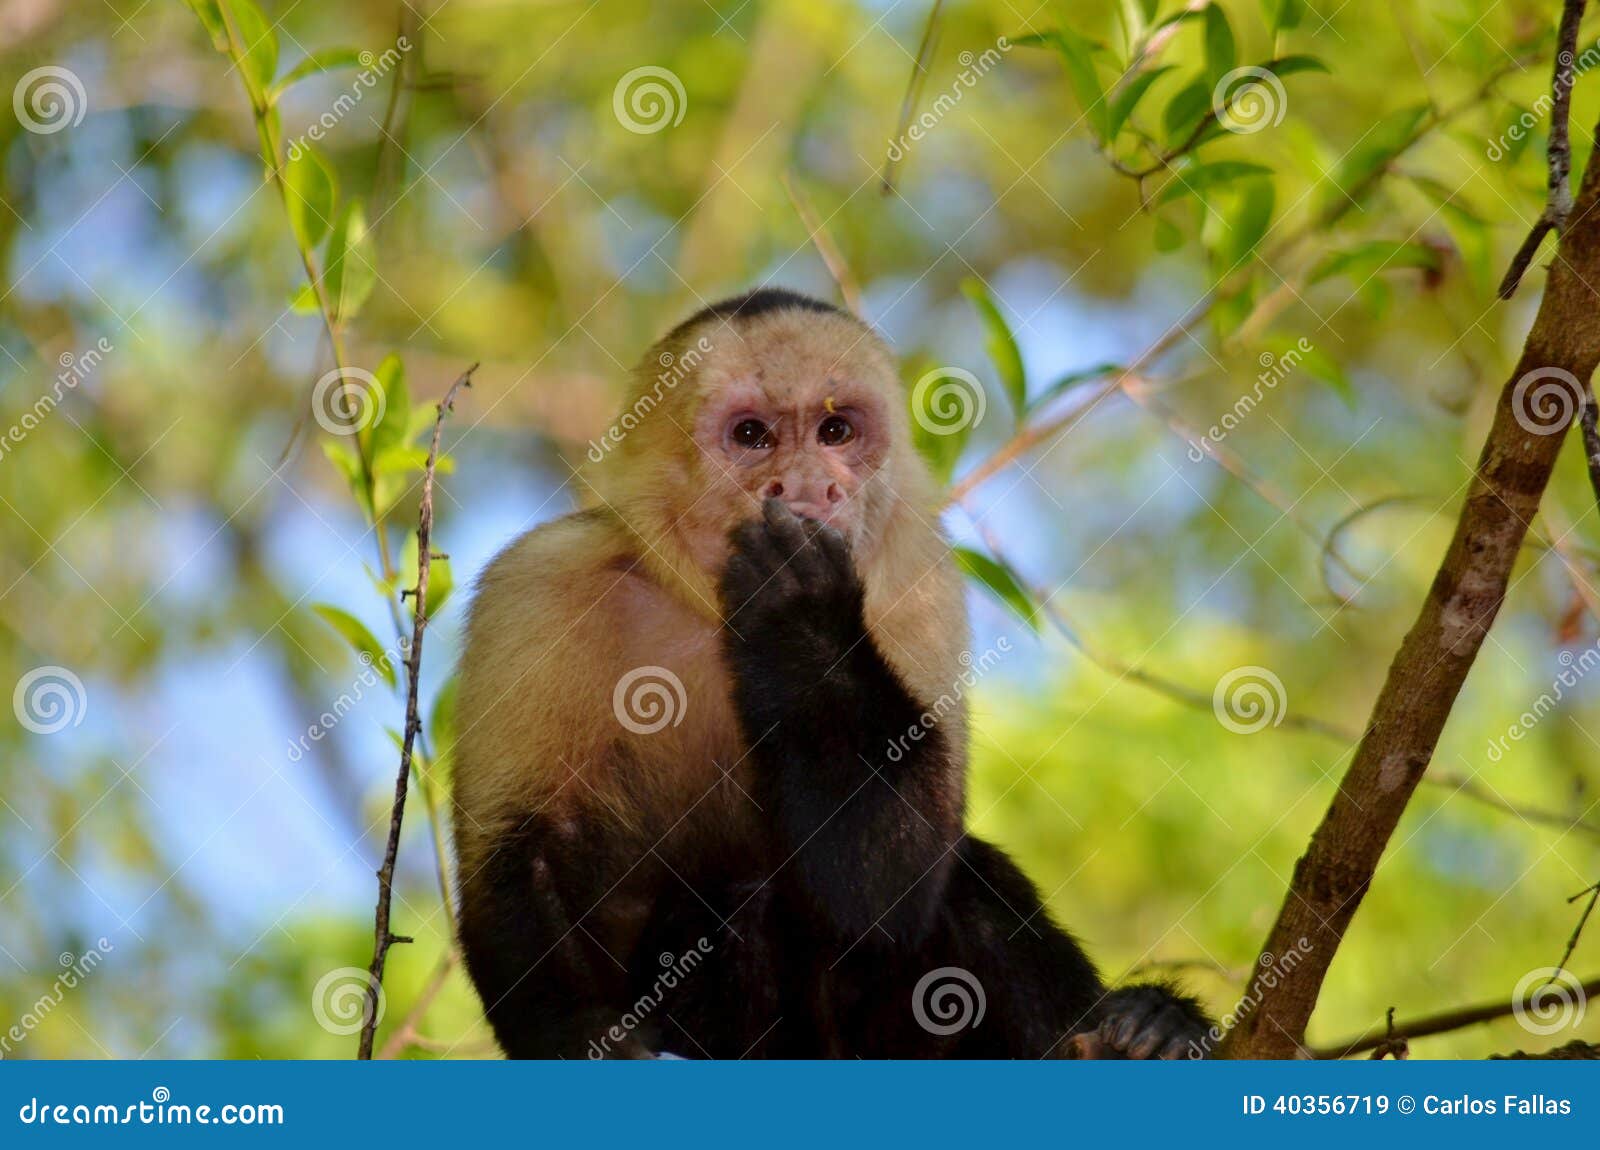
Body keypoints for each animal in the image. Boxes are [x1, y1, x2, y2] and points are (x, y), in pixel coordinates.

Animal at [451, 287, 1211, 1059]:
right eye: (752, 435)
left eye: (835, 431)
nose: (812, 485)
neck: (706, 603)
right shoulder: (541, 583)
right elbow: (519, 854)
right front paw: (583, 1035)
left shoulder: (919, 581)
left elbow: (887, 892)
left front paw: (802, 615)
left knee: (954, 880)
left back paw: (1146, 1030)